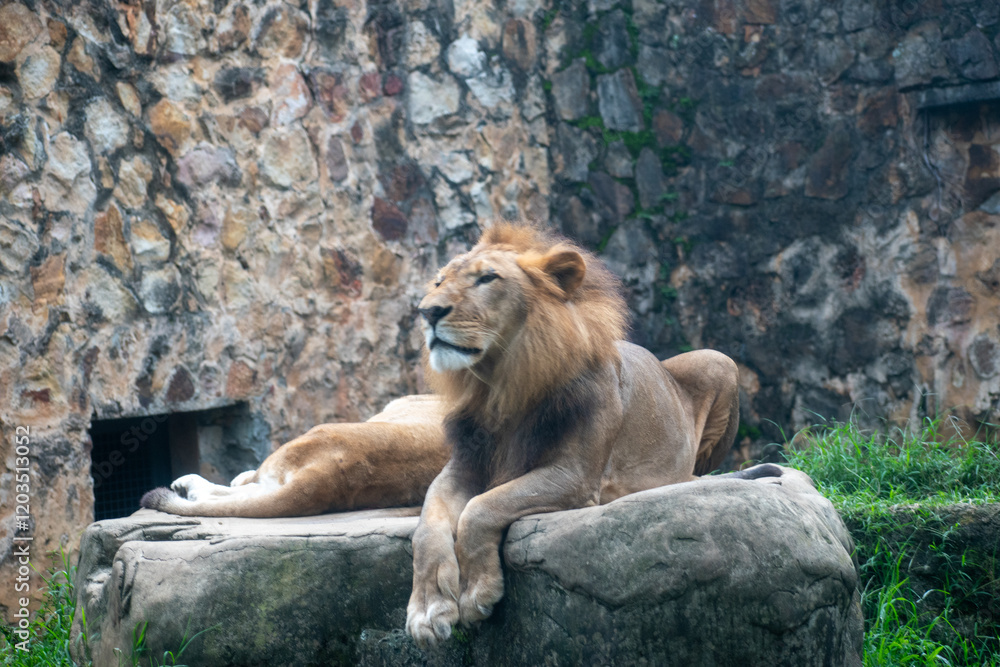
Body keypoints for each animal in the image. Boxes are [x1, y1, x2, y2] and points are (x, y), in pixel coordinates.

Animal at [404, 222, 769, 648]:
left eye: (487, 278)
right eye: (438, 281)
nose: (428, 311)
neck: (503, 387)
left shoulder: (574, 475)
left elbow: (482, 507)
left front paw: (476, 592)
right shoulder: (464, 465)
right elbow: (427, 526)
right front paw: (428, 610)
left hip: (718, 359)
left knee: (699, 469)